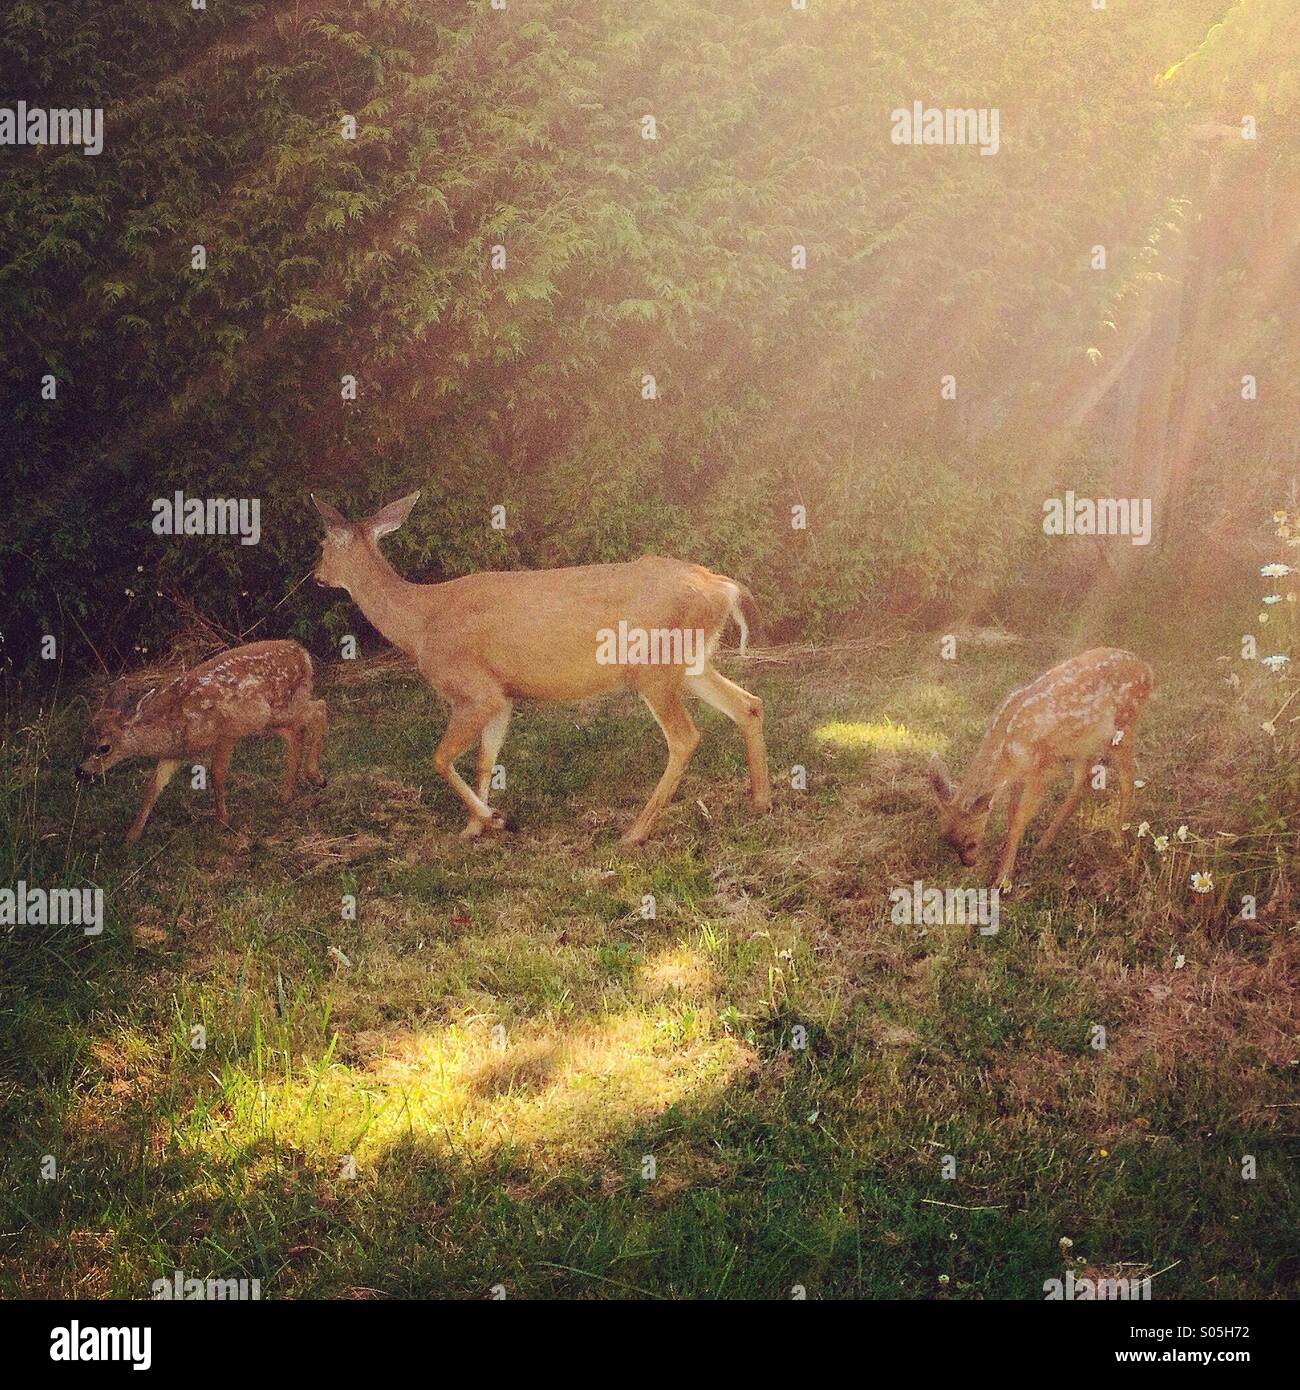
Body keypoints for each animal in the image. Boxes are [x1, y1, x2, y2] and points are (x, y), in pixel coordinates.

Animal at [76, 636, 328, 839]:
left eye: (104, 748)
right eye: (84, 738)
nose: (80, 771)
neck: (176, 722)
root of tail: (302, 653)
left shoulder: (226, 732)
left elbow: (216, 774)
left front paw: (222, 822)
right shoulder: (174, 753)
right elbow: (153, 786)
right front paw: (132, 835)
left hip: (283, 706)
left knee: (318, 708)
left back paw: (316, 777)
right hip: (268, 720)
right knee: (296, 732)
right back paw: (286, 795)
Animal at [308, 494, 767, 839]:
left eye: (323, 546)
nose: (315, 576)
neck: (421, 623)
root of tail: (723, 586)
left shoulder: (475, 690)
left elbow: (439, 758)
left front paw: (495, 820)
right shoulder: (503, 696)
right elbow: (485, 760)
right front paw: (475, 827)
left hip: (655, 666)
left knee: (686, 738)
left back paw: (635, 832)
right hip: (691, 662)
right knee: (749, 703)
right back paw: (761, 801)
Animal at [928, 647, 1151, 884]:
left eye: (971, 840)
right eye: (945, 838)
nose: (968, 863)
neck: (1007, 749)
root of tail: (1149, 670)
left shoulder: (1039, 771)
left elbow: (1018, 821)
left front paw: (1003, 879)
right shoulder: (1019, 775)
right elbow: (1010, 815)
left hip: (1123, 728)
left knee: (1127, 780)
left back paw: (1117, 841)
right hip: (1084, 743)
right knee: (1083, 781)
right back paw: (1043, 845)